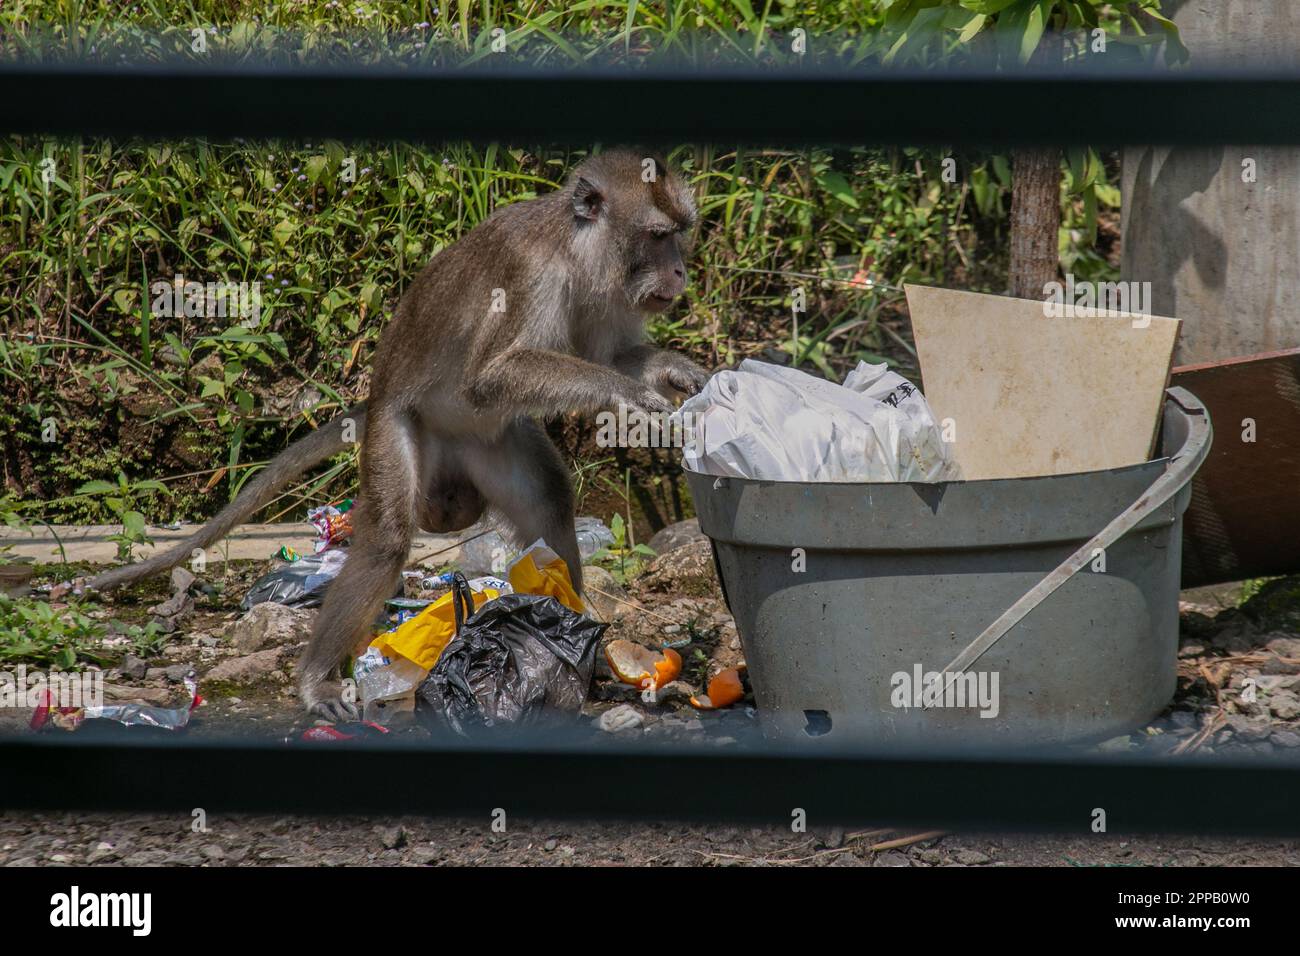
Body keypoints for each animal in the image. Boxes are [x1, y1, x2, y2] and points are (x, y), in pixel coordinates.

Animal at [84, 149, 709, 720]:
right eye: (658, 236)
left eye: (680, 234)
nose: (680, 272)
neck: (577, 251)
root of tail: (376, 397)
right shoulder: (529, 275)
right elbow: (492, 377)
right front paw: (621, 392)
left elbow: (610, 355)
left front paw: (676, 371)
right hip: (398, 425)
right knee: (386, 536)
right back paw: (317, 679)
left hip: (485, 442)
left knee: (546, 499)